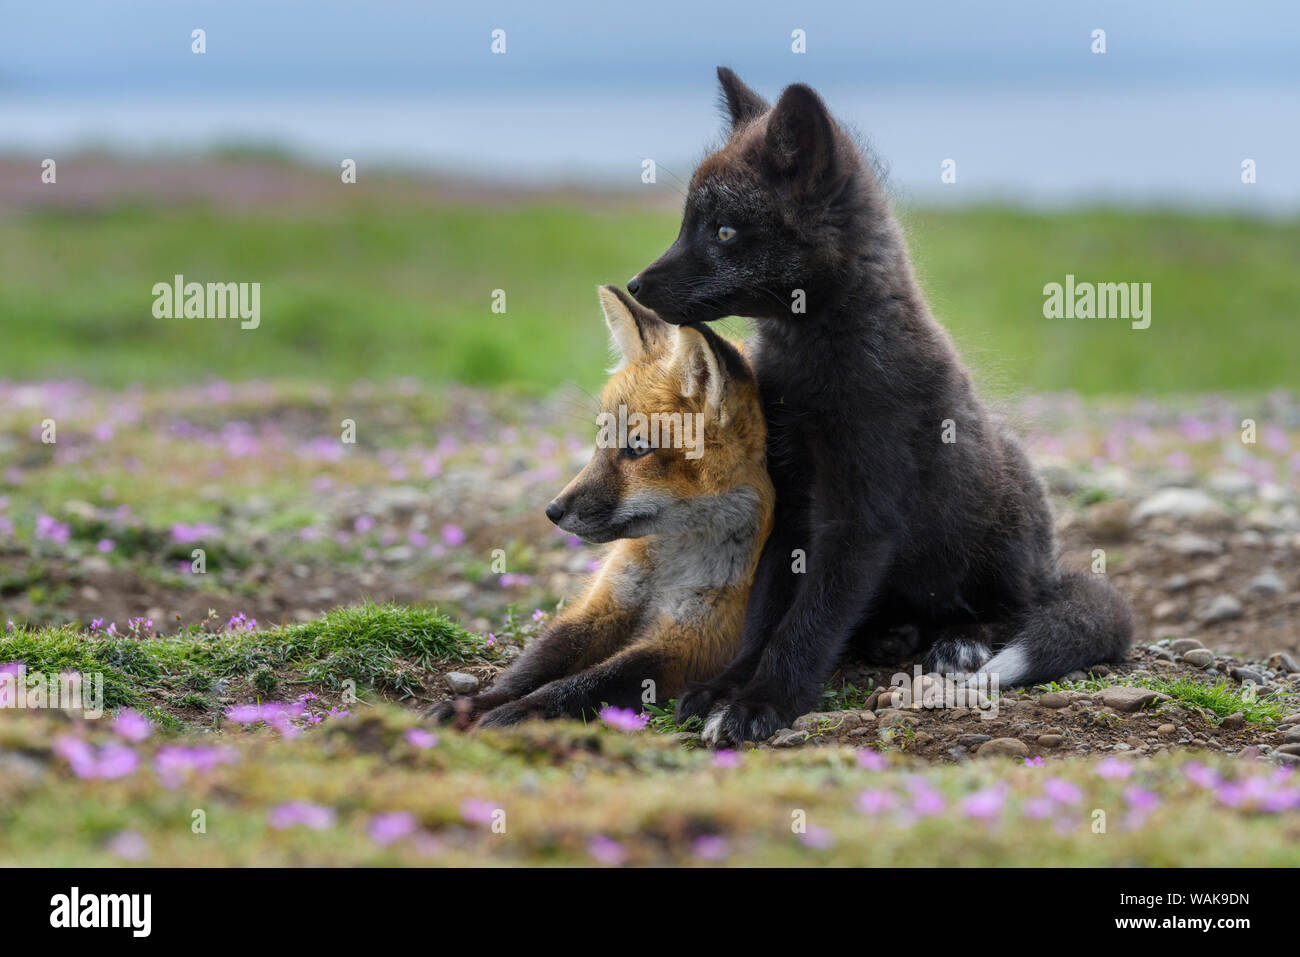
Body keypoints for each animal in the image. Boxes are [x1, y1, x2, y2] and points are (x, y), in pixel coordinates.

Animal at [429, 285, 774, 728]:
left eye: (638, 448)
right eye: (601, 440)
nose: (553, 511)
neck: (669, 568)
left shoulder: (693, 643)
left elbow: (586, 683)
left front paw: (519, 712)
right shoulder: (603, 605)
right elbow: (534, 665)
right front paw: (476, 704)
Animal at [626, 68, 1134, 746]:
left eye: (724, 231)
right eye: (689, 224)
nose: (635, 286)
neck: (810, 363)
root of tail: (1050, 566)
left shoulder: (861, 517)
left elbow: (805, 625)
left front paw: (762, 702)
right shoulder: (789, 504)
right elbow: (765, 614)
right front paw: (727, 686)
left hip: (998, 531)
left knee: (1015, 611)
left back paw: (961, 642)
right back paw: (893, 633)